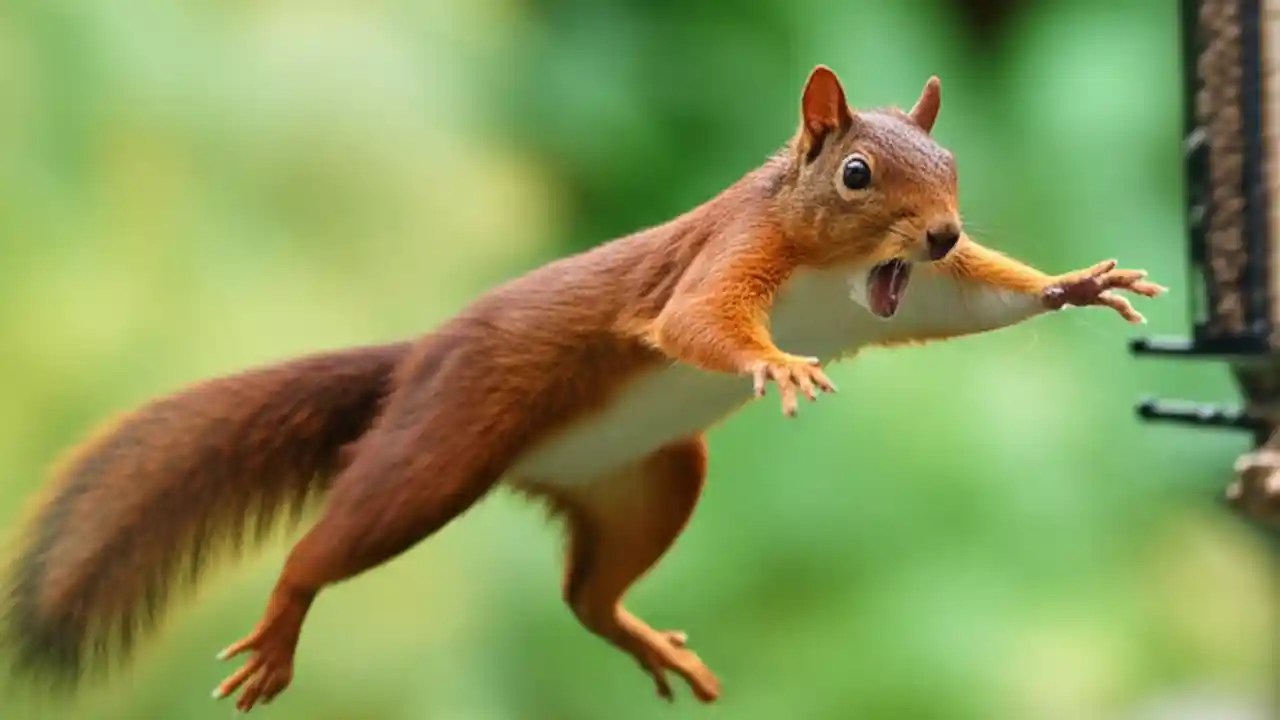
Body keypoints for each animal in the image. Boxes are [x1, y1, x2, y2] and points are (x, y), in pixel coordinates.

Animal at [2, 66, 1164, 712]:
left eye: (952, 164)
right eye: (856, 174)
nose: (942, 234)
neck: (834, 270)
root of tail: (420, 356)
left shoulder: (917, 293)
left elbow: (974, 302)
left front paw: (1076, 282)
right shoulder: (726, 256)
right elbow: (697, 321)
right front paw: (777, 361)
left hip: (650, 482)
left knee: (586, 597)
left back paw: (643, 637)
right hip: (436, 453)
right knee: (328, 547)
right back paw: (283, 625)